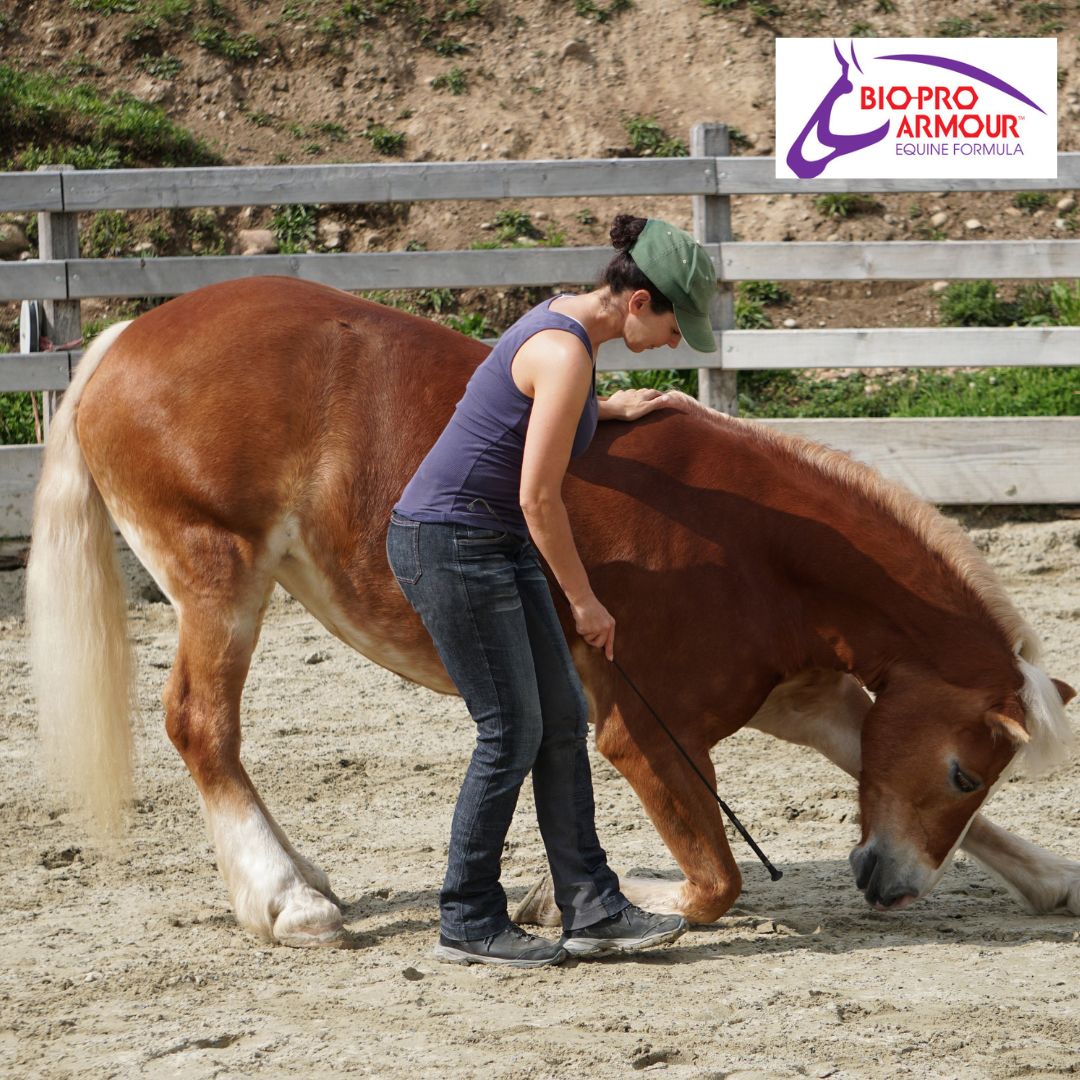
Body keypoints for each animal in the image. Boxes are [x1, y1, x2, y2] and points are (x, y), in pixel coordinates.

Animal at [26, 276, 1077, 947]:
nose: (889, 885)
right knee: (201, 727)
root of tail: (124, 340)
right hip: (220, 579)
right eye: (959, 770)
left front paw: (1050, 878)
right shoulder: (645, 737)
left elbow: (864, 762)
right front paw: (555, 901)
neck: (759, 551)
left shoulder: (808, 702)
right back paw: (289, 902)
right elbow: (716, 881)